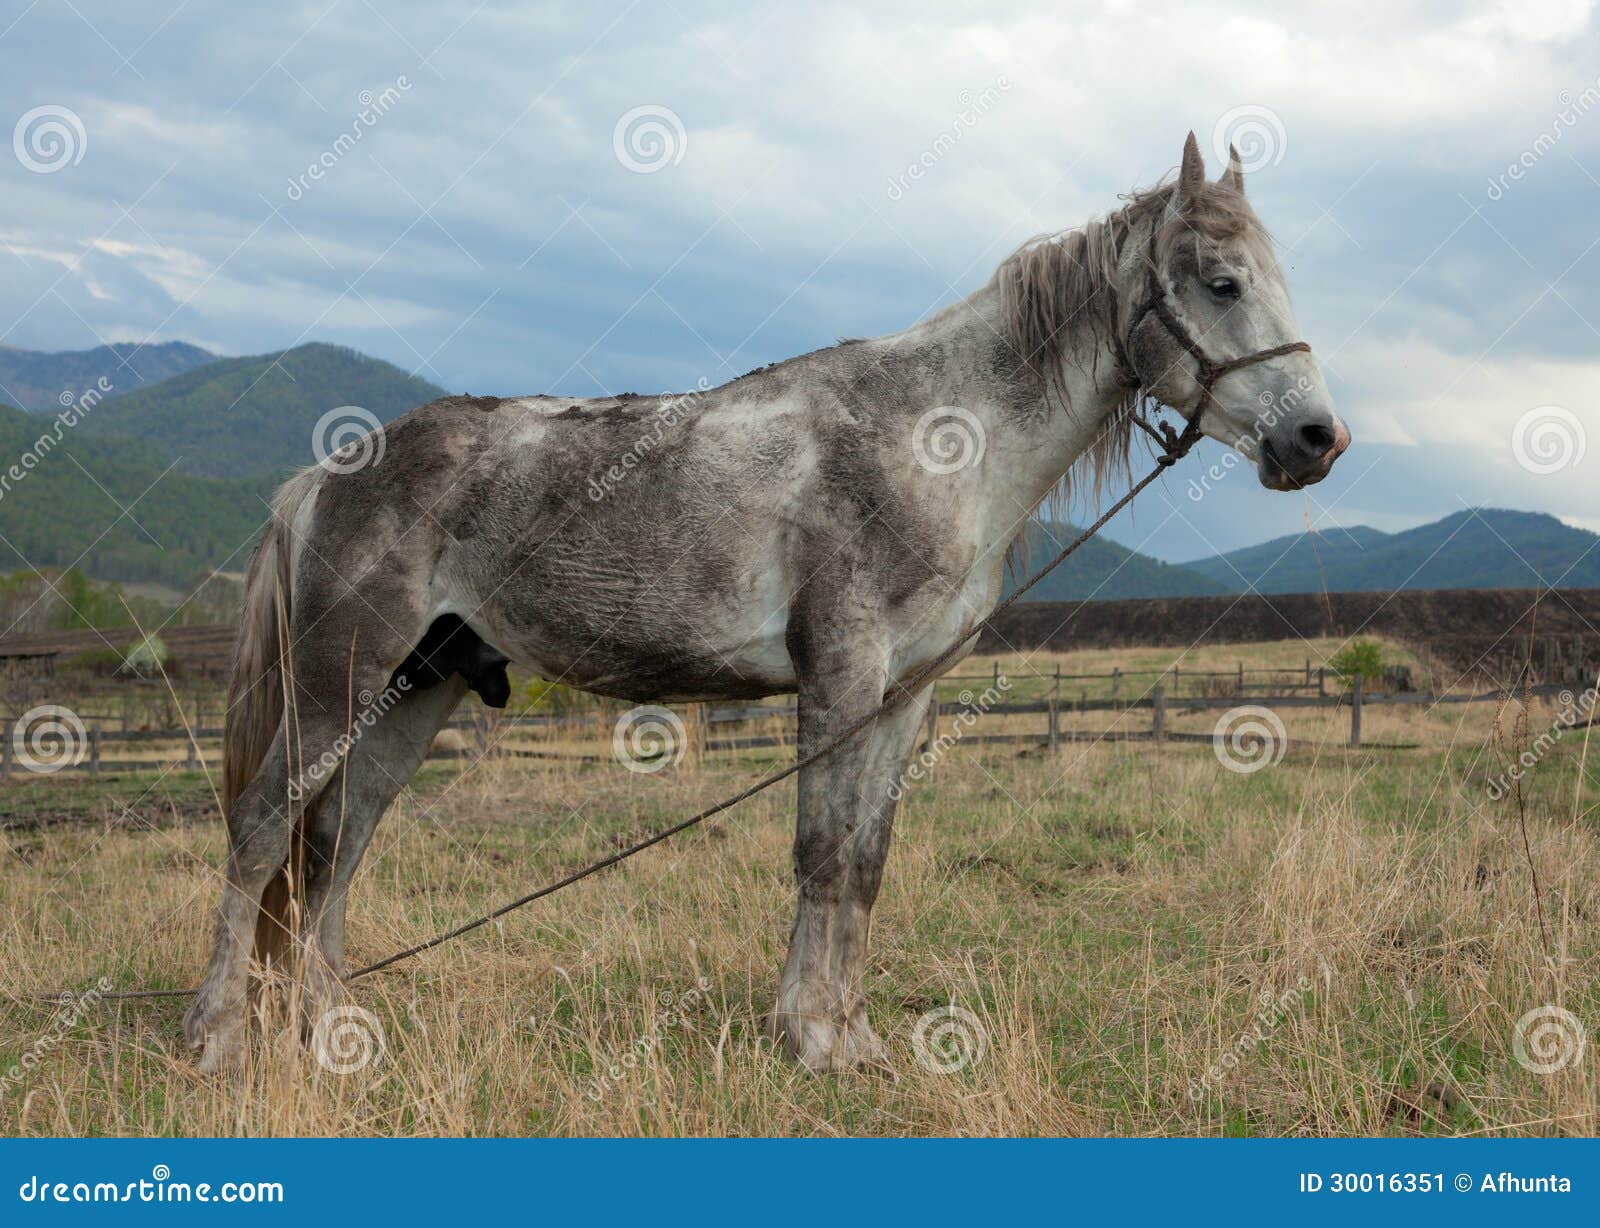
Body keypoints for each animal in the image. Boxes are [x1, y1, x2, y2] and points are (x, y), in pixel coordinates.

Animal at [184, 133, 1350, 1073]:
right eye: (1220, 282)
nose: (1316, 440)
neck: (936, 437)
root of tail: (327, 472)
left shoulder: (905, 697)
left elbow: (865, 863)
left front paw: (855, 1036)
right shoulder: (839, 674)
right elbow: (820, 853)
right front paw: (810, 1037)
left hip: (413, 693)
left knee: (337, 842)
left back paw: (331, 1028)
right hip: (336, 683)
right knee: (266, 829)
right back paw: (219, 1035)